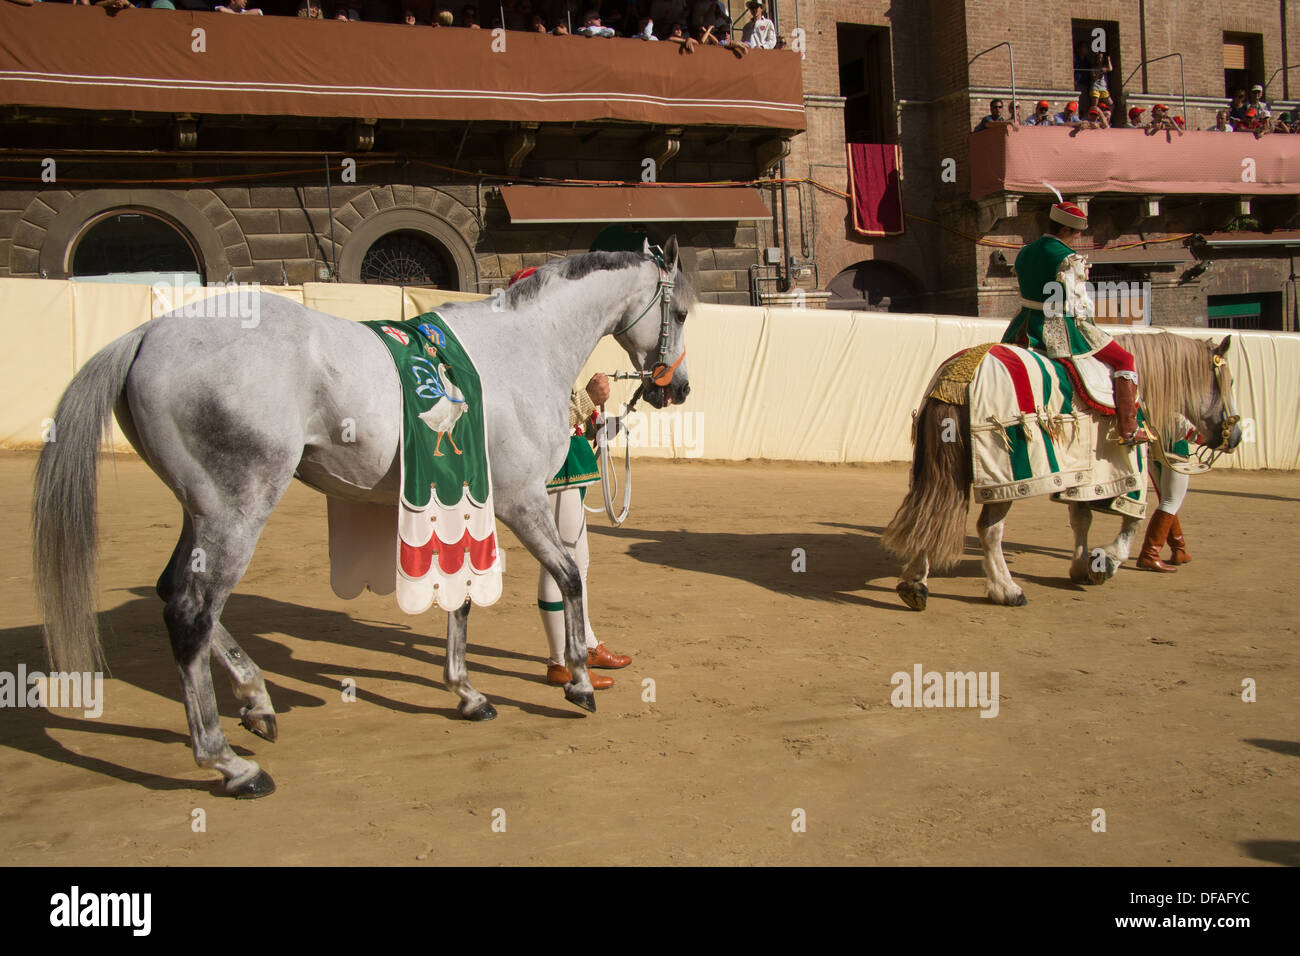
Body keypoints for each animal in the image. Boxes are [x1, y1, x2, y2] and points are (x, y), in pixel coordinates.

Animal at [32, 239, 693, 797]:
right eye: (682, 311)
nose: (677, 388)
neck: (521, 346)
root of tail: (147, 333)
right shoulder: (519, 500)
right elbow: (567, 577)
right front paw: (578, 680)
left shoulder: (465, 498)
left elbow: (460, 598)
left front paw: (467, 693)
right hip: (237, 510)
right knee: (193, 612)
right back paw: (230, 763)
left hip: (200, 511)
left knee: (176, 593)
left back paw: (256, 701)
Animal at [882, 332, 1241, 610]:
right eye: (1229, 381)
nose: (1236, 435)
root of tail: (962, 370)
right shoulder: (1128, 469)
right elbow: (1132, 517)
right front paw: (1107, 561)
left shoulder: (1083, 477)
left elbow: (1082, 517)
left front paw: (1083, 566)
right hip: (1005, 477)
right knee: (989, 529)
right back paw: (1006, 590)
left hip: (940, 469)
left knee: (930, 515)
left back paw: (914, 584)